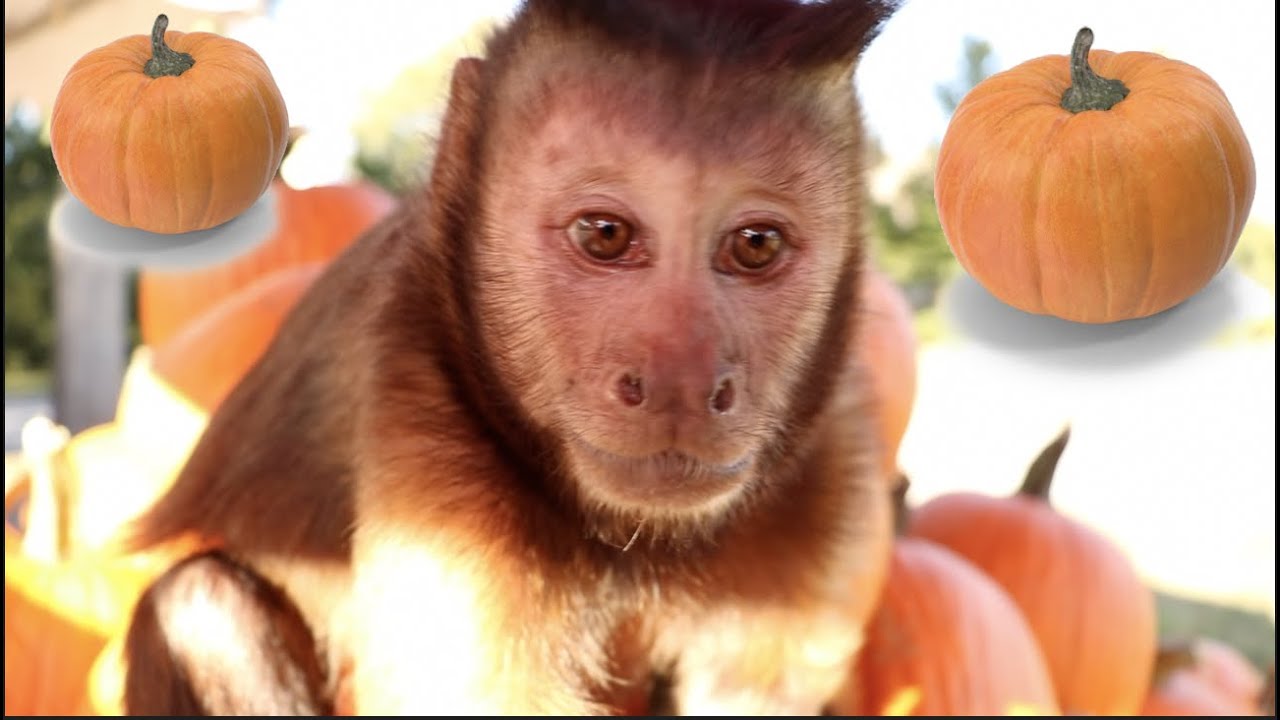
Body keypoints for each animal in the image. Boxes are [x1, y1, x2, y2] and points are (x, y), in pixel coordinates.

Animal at [119, 0, 900, 714]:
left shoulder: (833, 467)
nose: (682, 380)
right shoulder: (426, 421)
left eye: (756, 245)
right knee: (203, 604)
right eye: (606, 234)